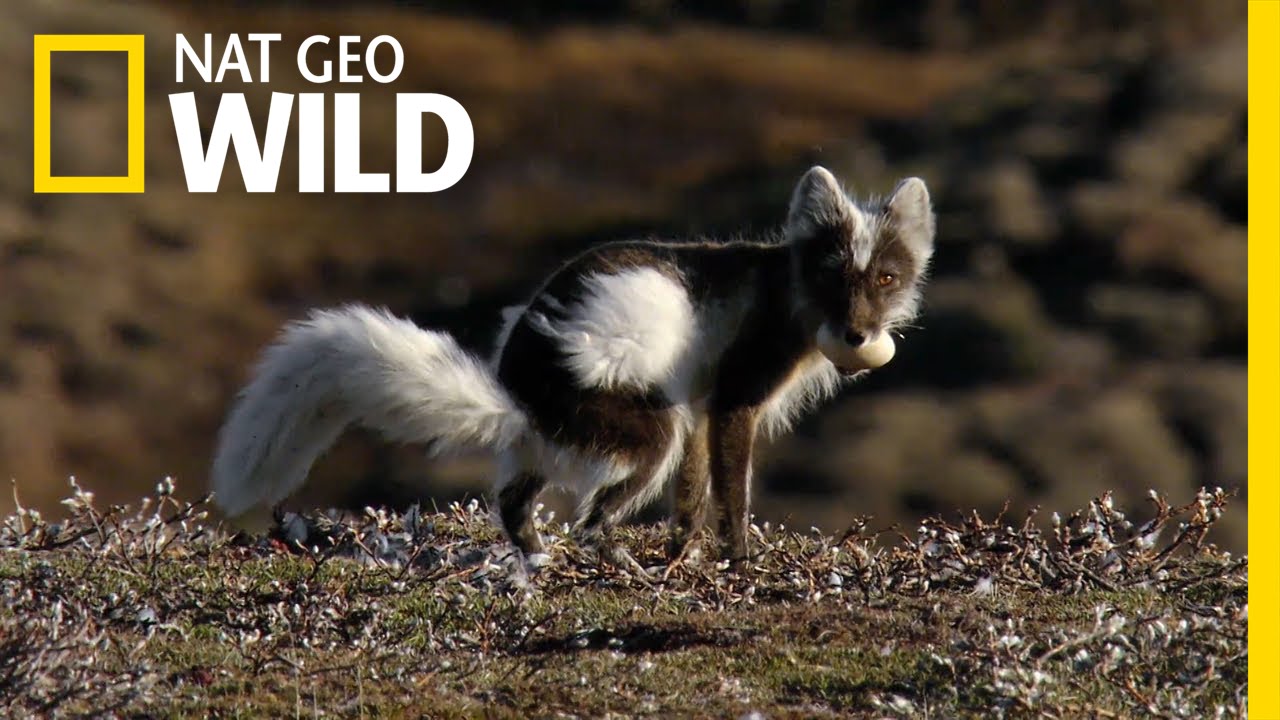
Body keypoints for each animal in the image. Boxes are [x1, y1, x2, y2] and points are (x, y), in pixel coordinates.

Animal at [210, 166, 935, 566]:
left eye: (887, 277)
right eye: (831, 274)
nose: (858, 332)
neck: (784, 292)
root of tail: (517, 382)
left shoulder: (701, 403)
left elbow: (691, 495)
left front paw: (682, 554)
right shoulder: (734, 396)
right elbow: (731, 491)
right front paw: (736, 559)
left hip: (570, 430)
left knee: (512, 498)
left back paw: (535, 554)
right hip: (639, 420)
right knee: (592, 519)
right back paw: (616, 565)